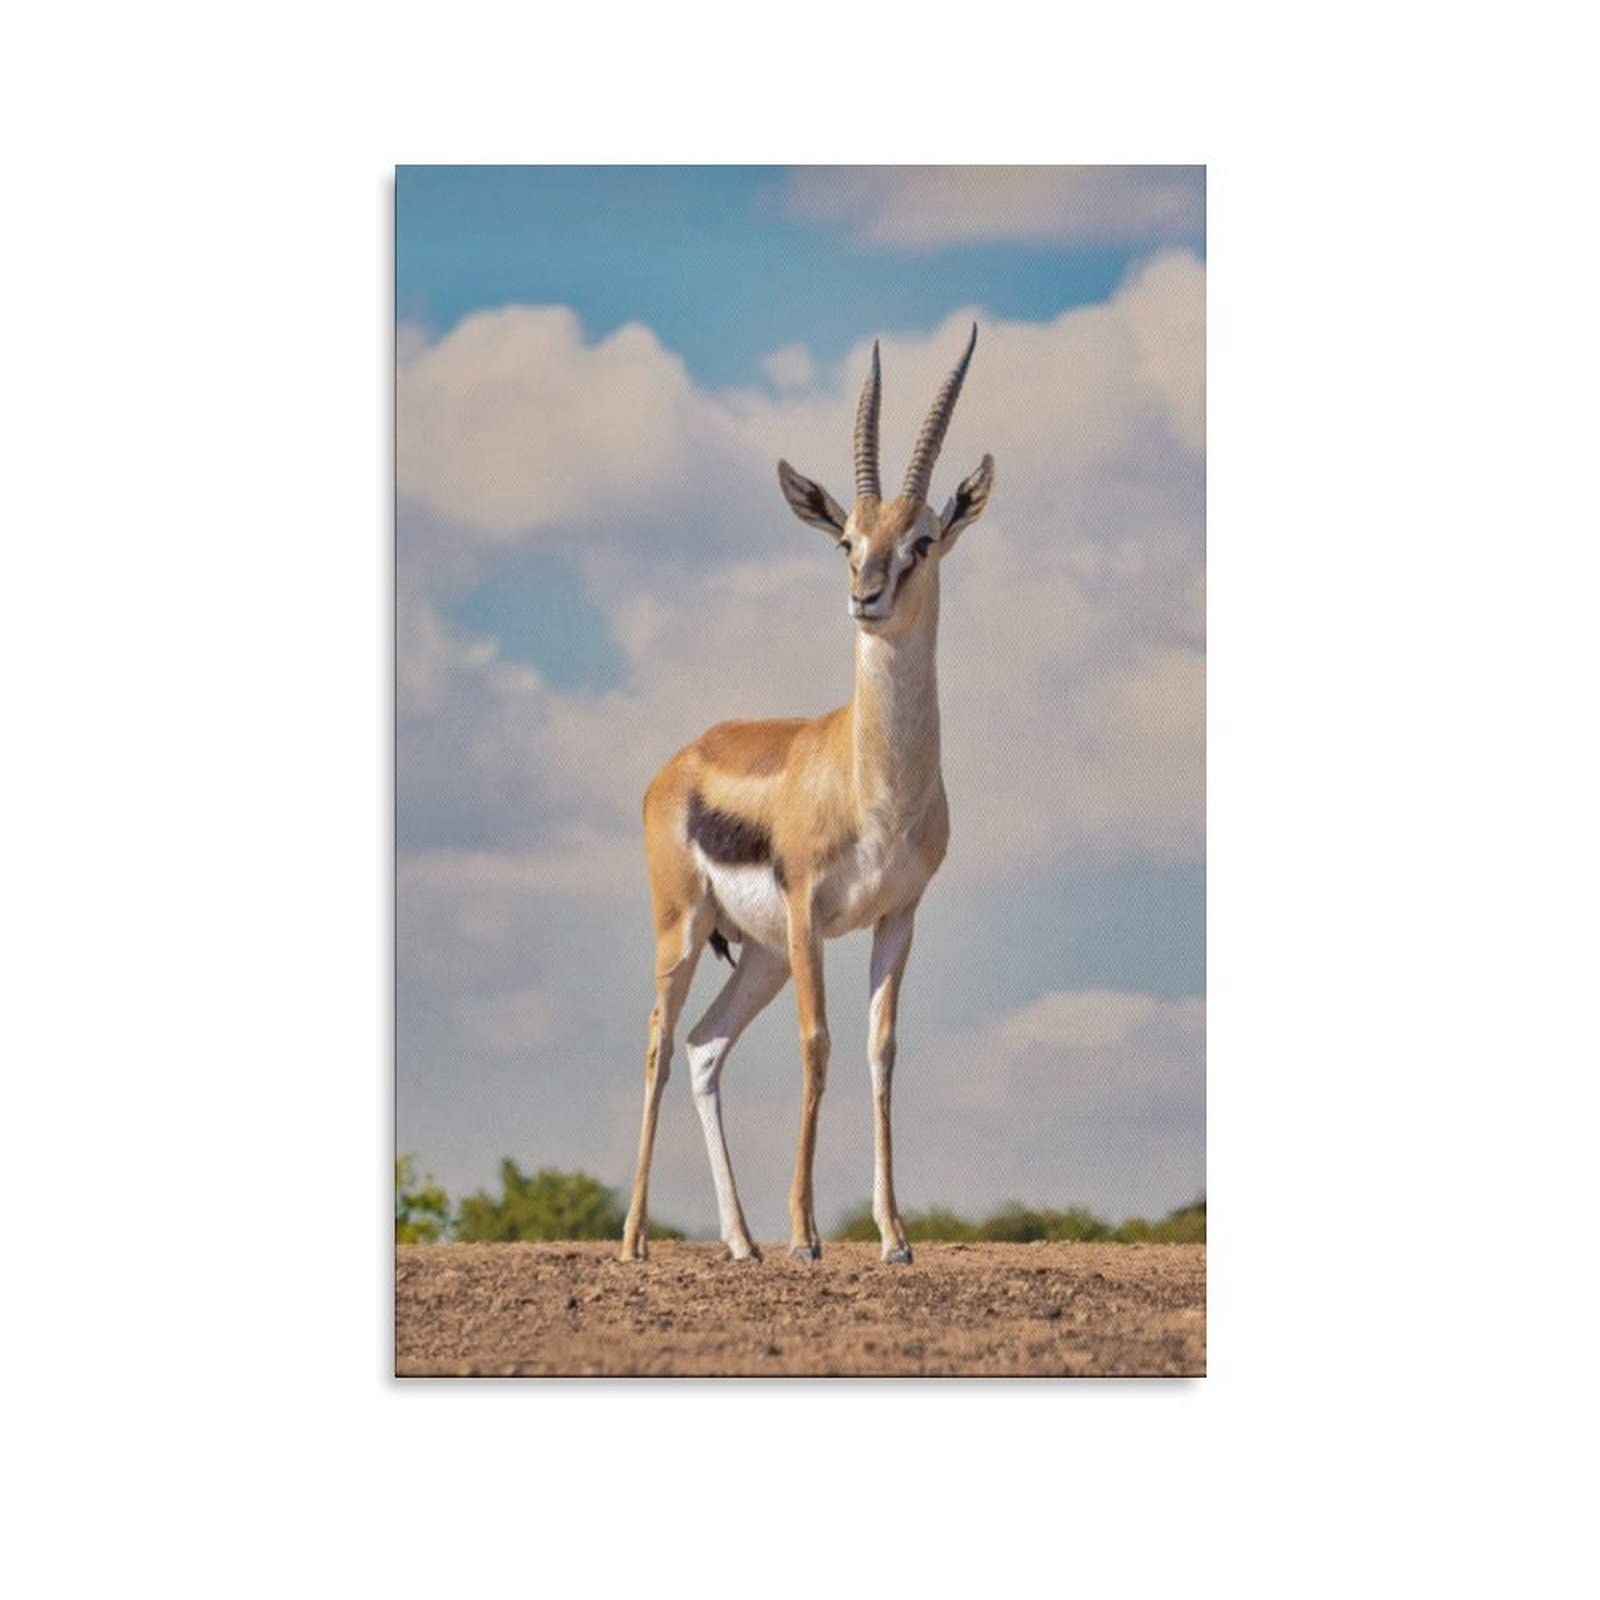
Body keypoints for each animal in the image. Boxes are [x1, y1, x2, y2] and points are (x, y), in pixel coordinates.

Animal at [619, 327, 994, 1264]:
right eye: (845, 539)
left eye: (922, 539)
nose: (866, 597)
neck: (872, 785)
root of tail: (678, 760)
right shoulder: (807, 912)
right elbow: (816, 1047)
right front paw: (807, 1234)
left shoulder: (897, 916)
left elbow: (879, 1052)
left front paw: (894, 1237)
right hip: (689, 931)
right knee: (656, 1045)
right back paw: (636, 1240)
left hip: (756, 954)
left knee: (704, 1048)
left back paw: (739, 1243)